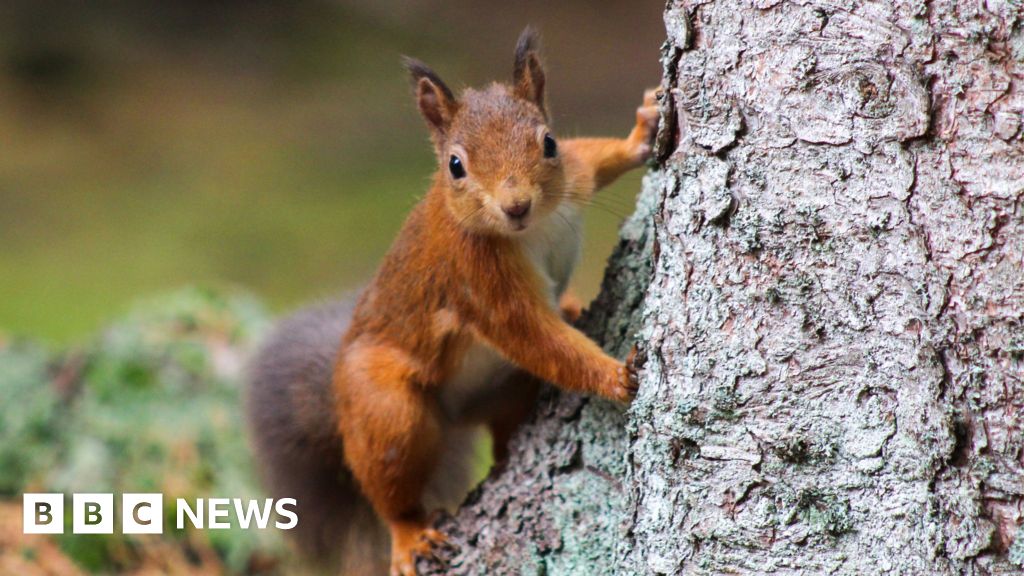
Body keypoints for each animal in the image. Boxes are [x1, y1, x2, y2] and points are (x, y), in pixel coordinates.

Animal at [246, 27, 659, 576]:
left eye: (547, 142)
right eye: (455, 166)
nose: (516, 205)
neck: (533, 229)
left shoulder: (574, 174)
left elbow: (594, 155)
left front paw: (643, 132)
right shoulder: (479, 281)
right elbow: (536, 338)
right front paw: (616, 376)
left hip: (507, 391)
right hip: (387, 410)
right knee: (390, 483)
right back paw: (409, 535)